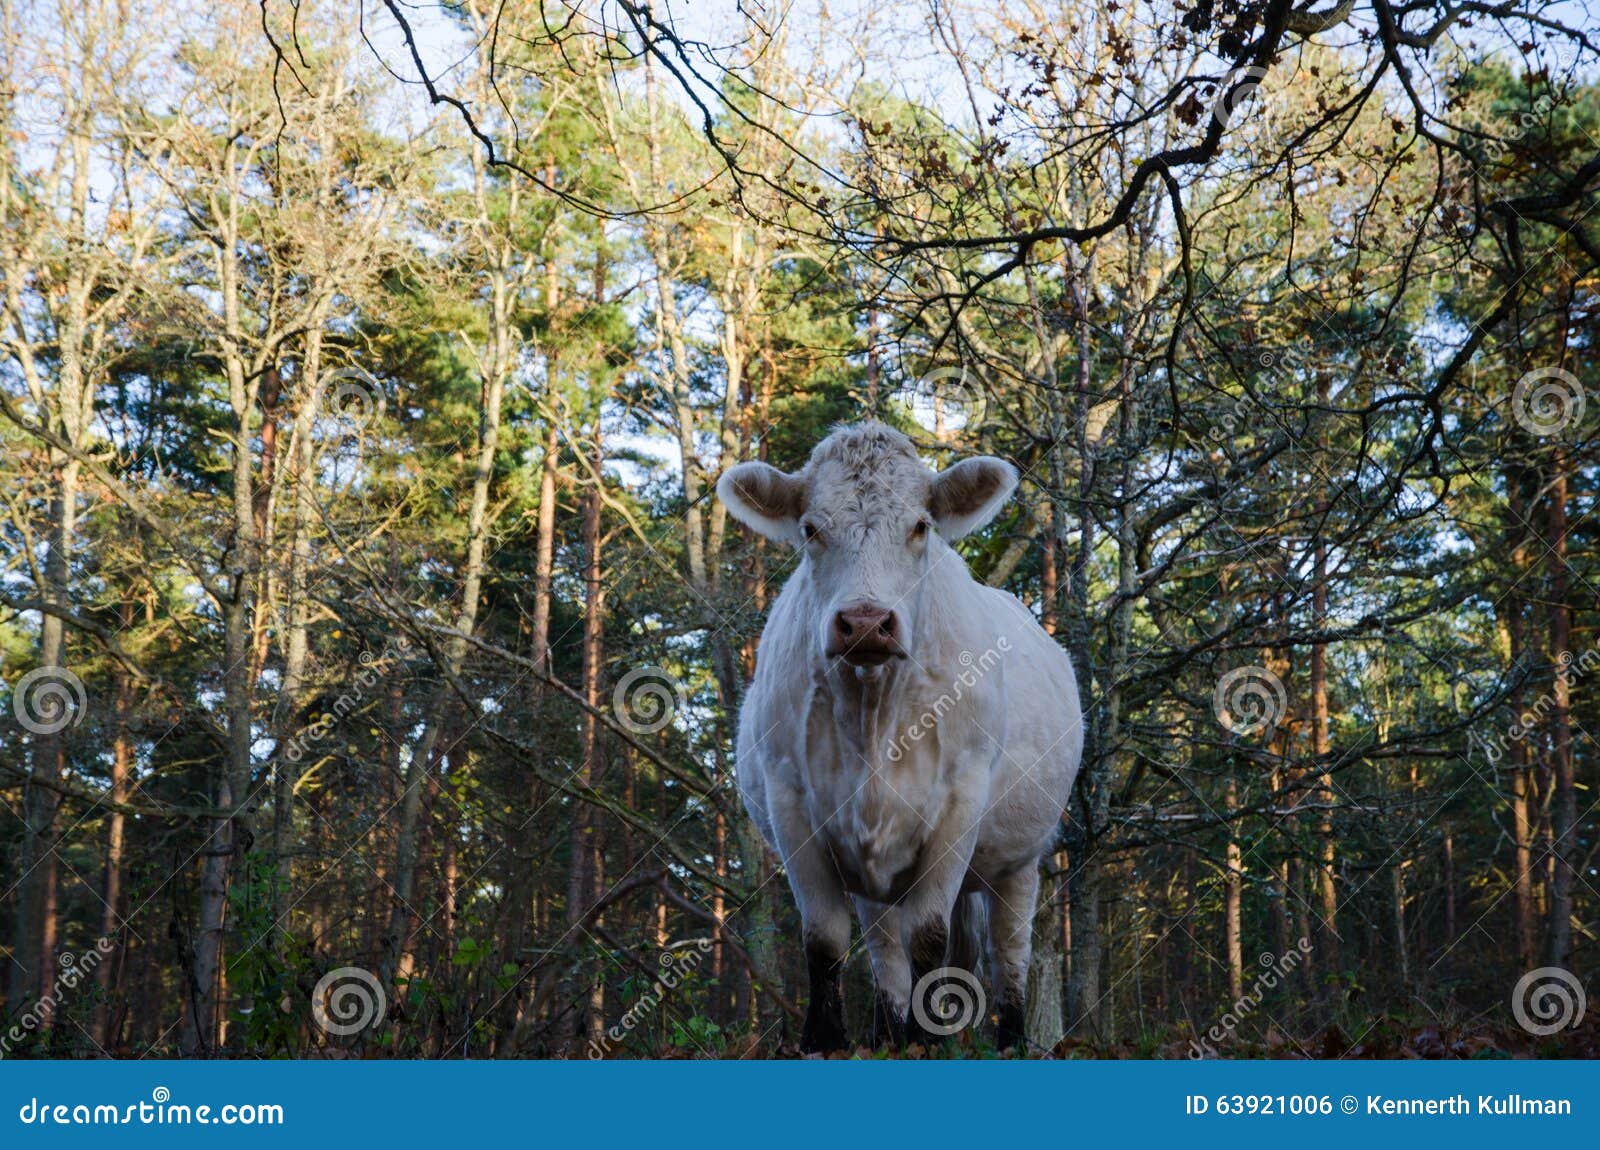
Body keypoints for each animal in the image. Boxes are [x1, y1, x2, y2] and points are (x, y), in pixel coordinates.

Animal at [717, 422, 1083, 1053]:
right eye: (811, 529)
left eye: (919, 526)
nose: (865, 622)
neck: (873, 712)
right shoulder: (791, 805)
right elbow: (825, 939)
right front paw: (825, 1041)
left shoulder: (960, 806)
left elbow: (930, 936)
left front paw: (929, 1042)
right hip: (875, 878)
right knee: (888, 952)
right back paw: (891, 1031)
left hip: (1019, 860)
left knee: (1006, 951)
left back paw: (1009, 1038)